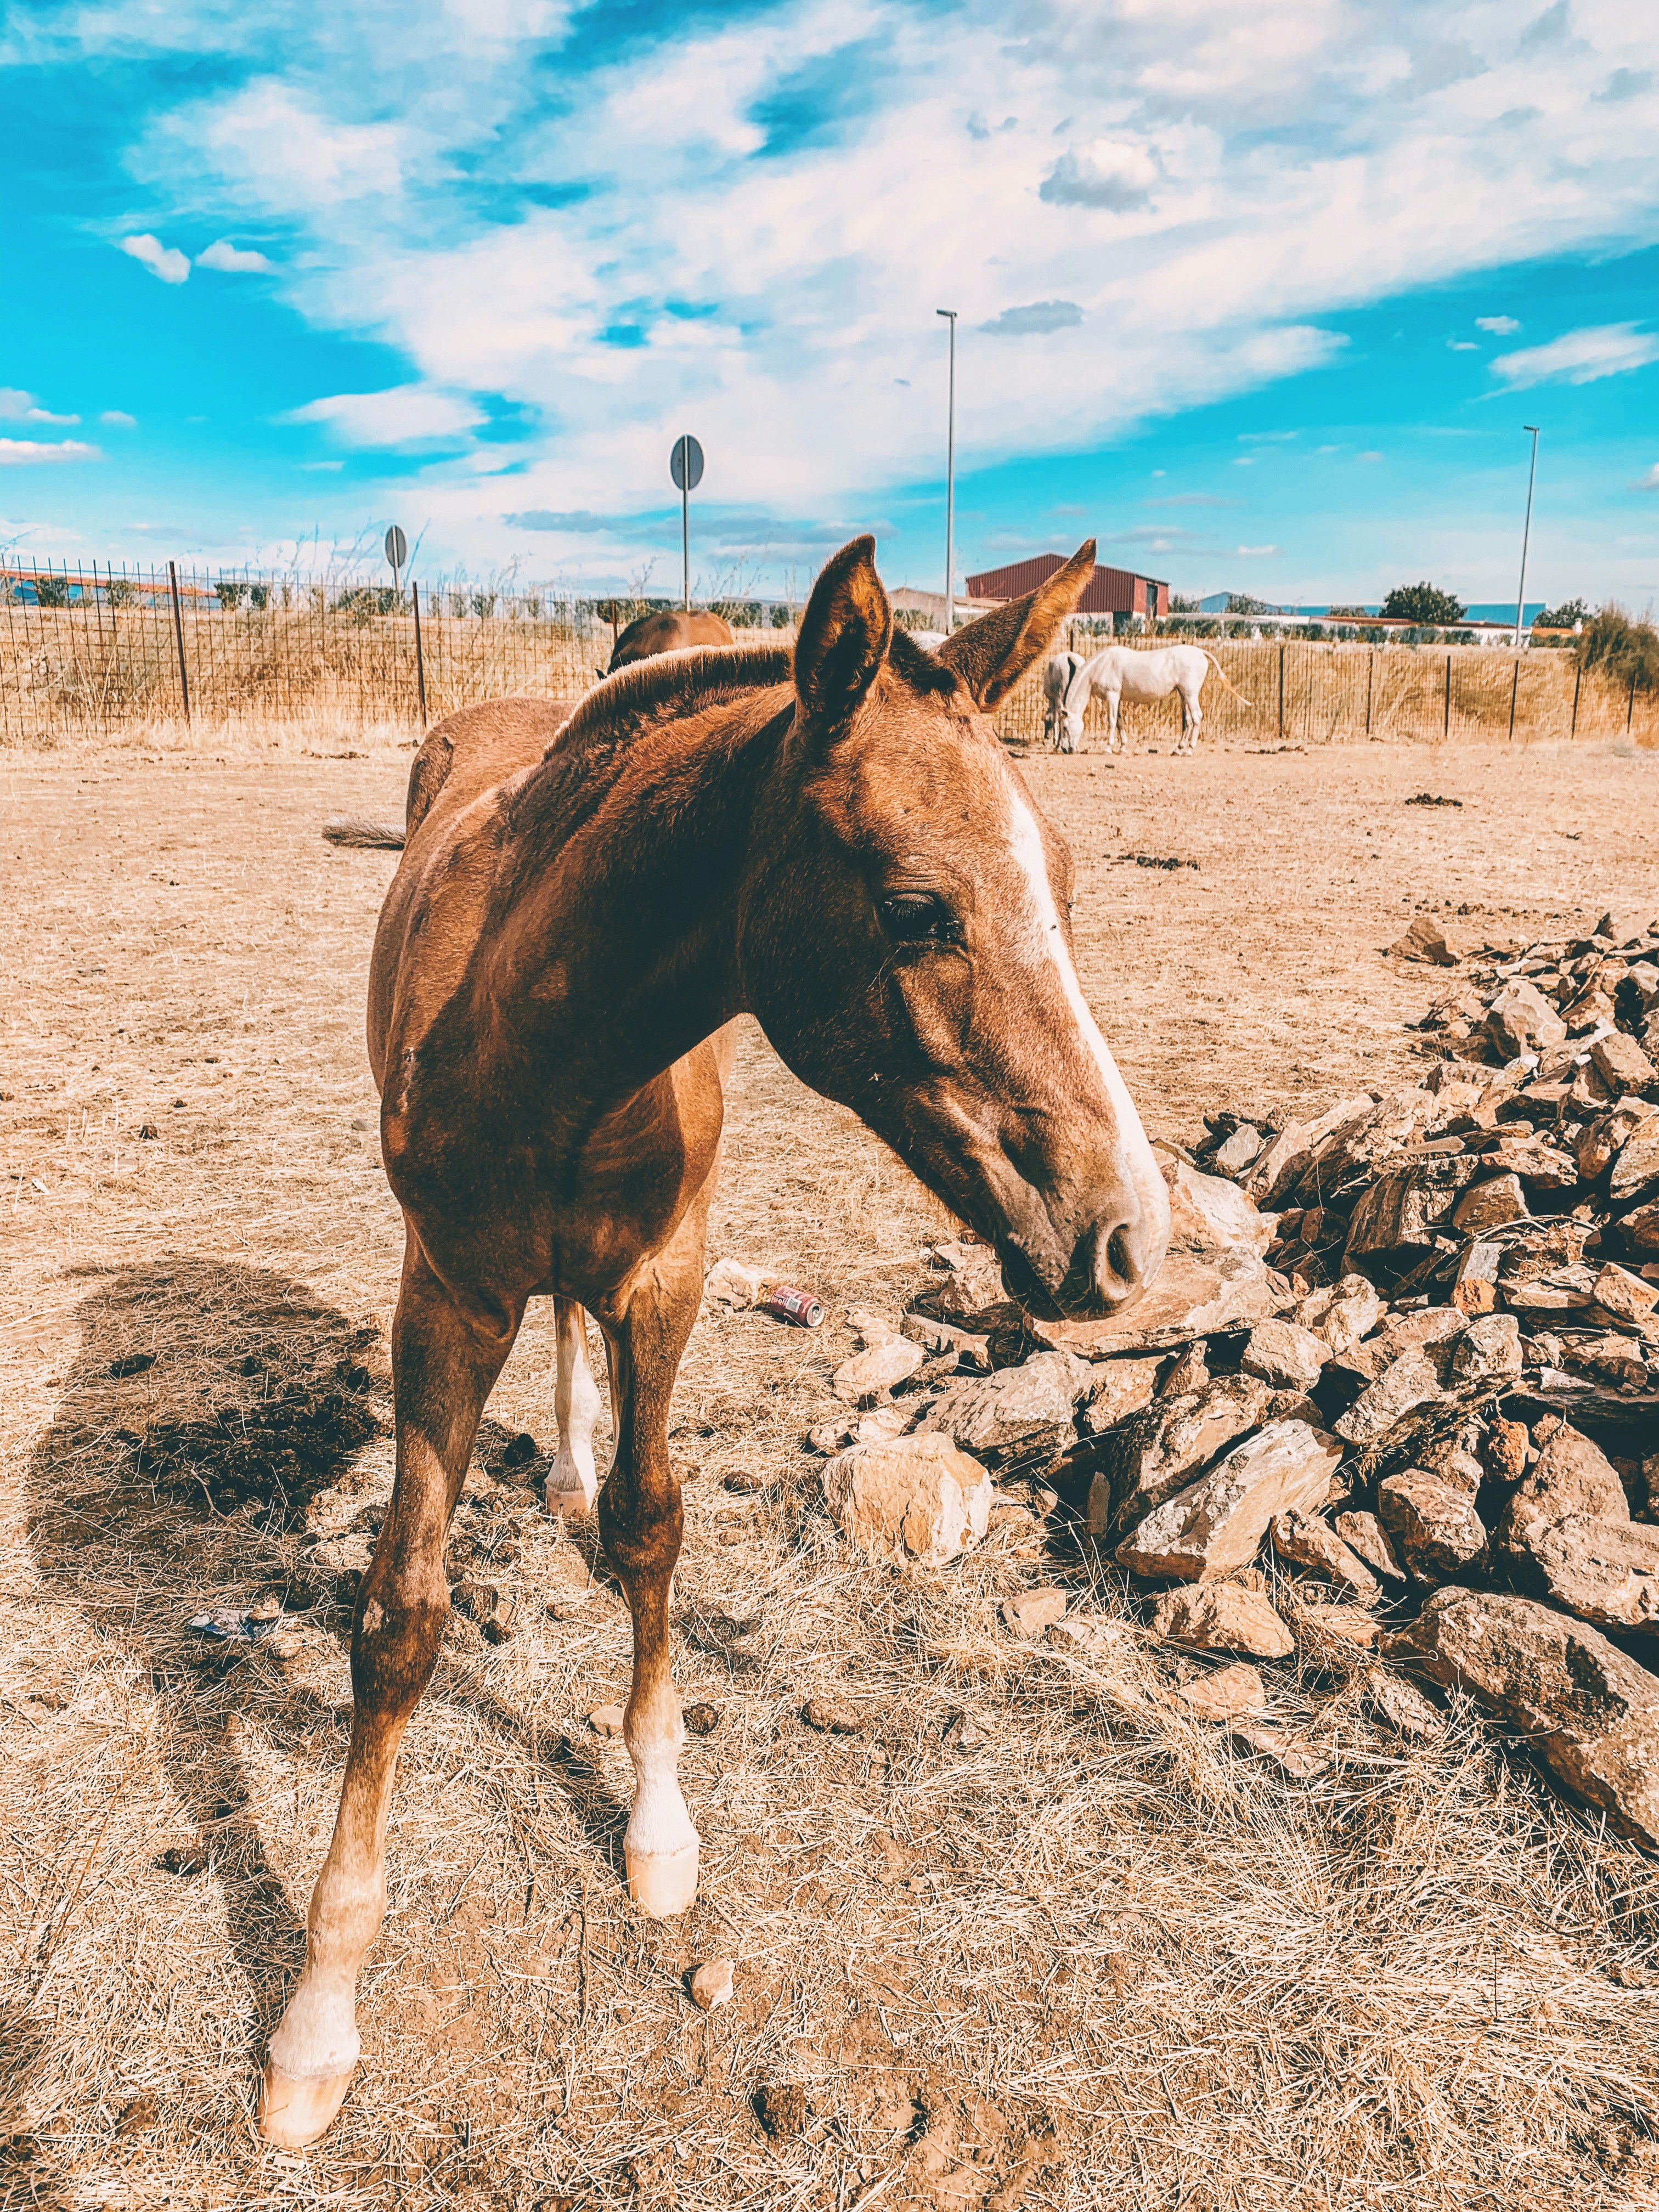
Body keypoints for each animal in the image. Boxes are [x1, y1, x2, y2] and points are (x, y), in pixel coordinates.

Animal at [1058, 642, 1248, 754]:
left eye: (1066, 727)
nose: (1066, 750)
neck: (1101, 665)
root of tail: (1200, 652)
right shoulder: (1118, 699)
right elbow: (1120, 721)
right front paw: (1123, 747)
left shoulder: (1113, 696)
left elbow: (1111, 721)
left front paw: (1108, 747)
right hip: (1183, 695)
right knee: (1187, 721)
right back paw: (1178, 749)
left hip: (1190, 694)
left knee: (1197, 718)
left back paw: (1189, 750)